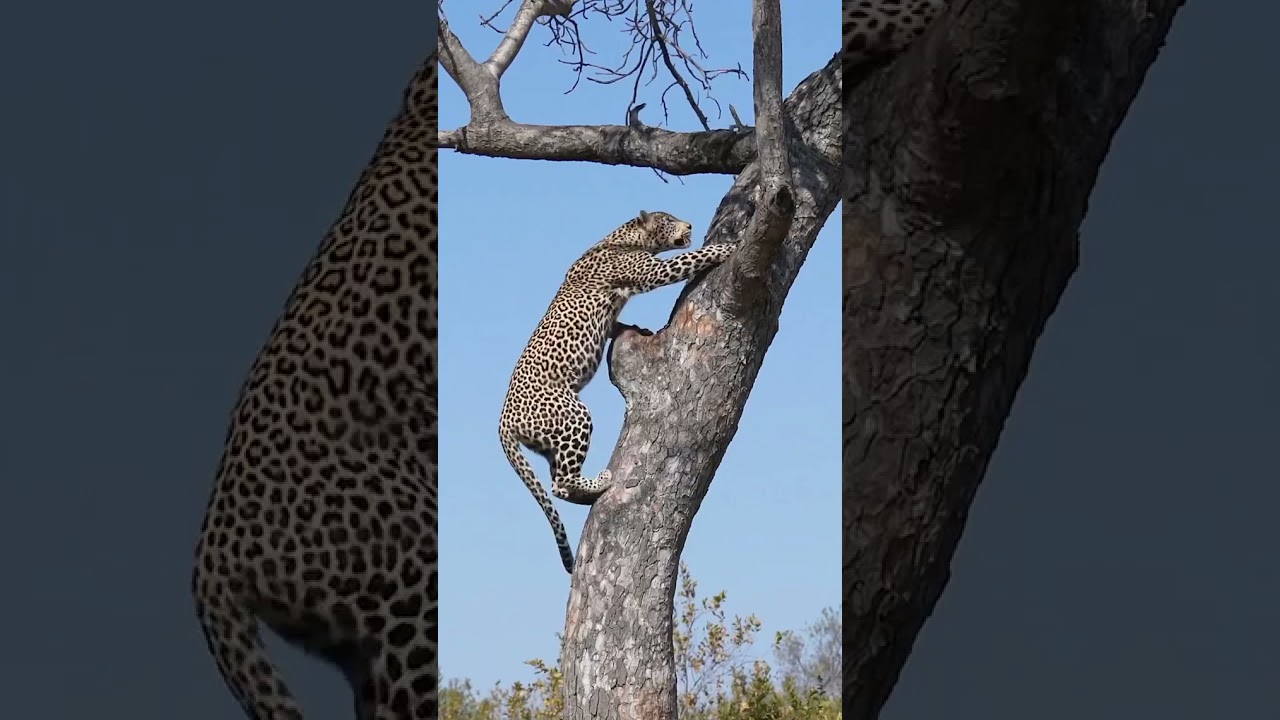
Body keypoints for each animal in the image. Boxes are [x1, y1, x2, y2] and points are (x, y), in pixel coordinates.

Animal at [498, 211, 736, 574]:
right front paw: (726, 248)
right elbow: (690, 258)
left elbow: (618, 325)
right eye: (667, 218)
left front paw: (636, 329)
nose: (690, 225)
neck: (623, 237)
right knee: (560, 483)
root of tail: (503, 423)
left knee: (557, 479)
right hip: (573, 416)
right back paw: (602, 481)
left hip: (551, 441)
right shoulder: (652, 271)